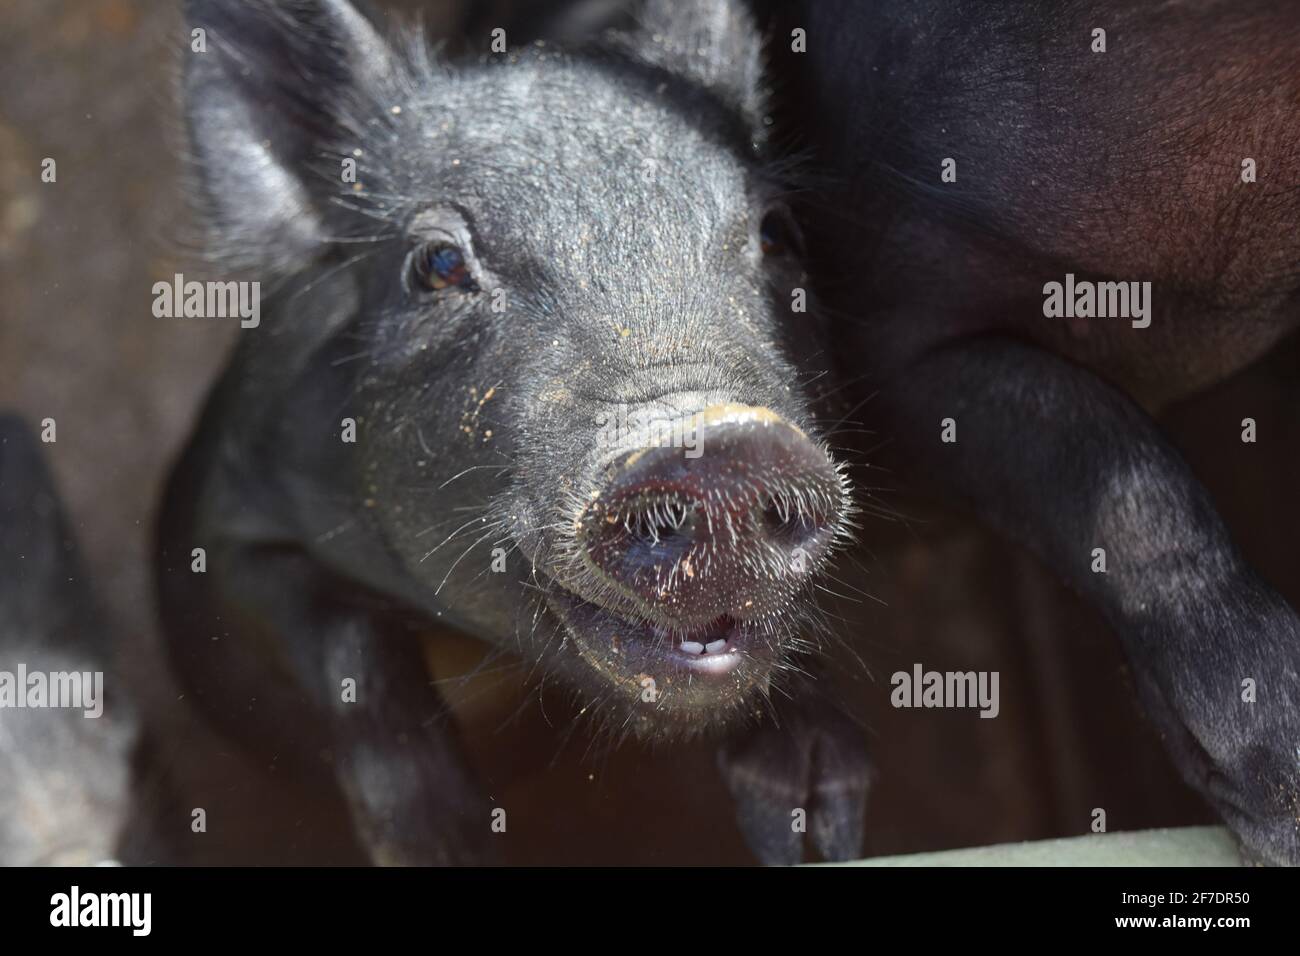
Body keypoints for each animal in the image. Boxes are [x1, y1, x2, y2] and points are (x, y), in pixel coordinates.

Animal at [157, 0, 871, 865]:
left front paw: (819, 827)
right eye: (437, 263)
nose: (720, 448)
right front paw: (441, 847)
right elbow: (345, 639)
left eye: (775, 232)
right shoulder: (235, 520)